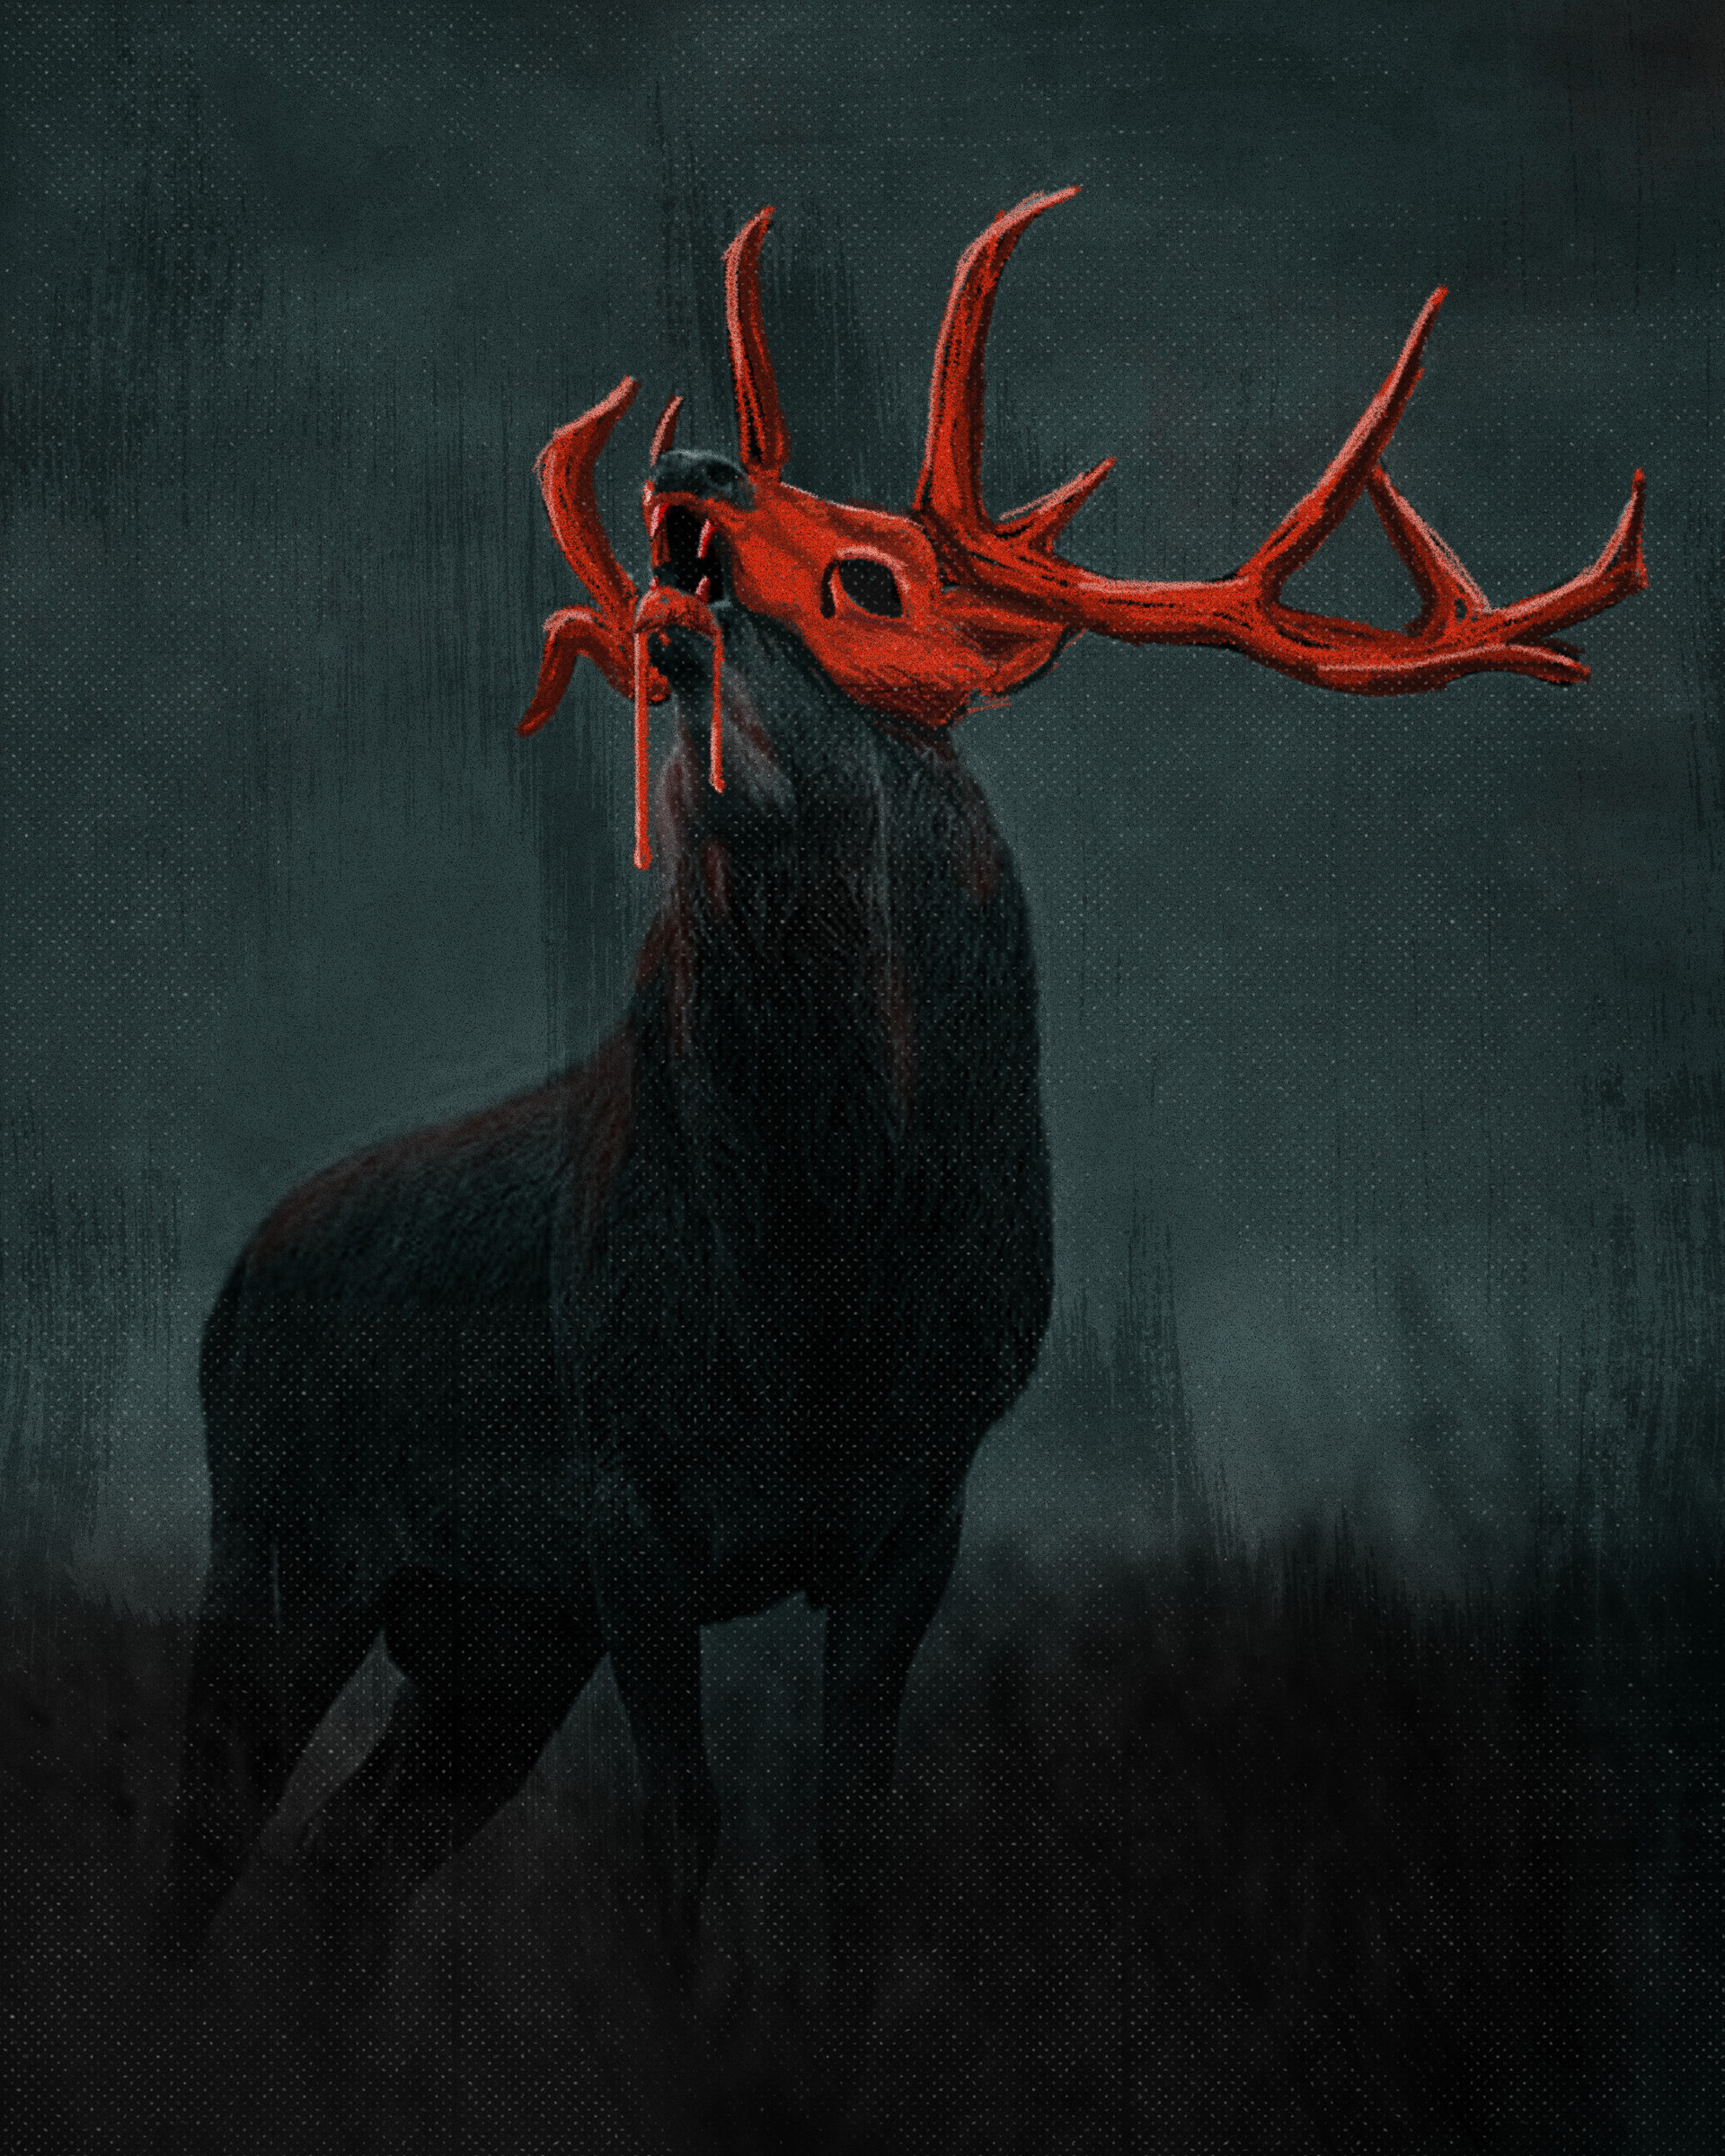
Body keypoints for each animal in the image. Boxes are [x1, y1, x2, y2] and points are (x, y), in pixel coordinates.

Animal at [153, 189, 1645, 2019]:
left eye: (874, 578)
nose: (691, 474)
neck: (823, 1276)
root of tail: (235, 1281)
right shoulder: (624, 1497)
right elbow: (685, 1836)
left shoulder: (918, 1505)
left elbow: (851, 1842)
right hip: (281, 1536)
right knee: (204, 1850)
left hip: (492, 1639)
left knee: (333, 1873)